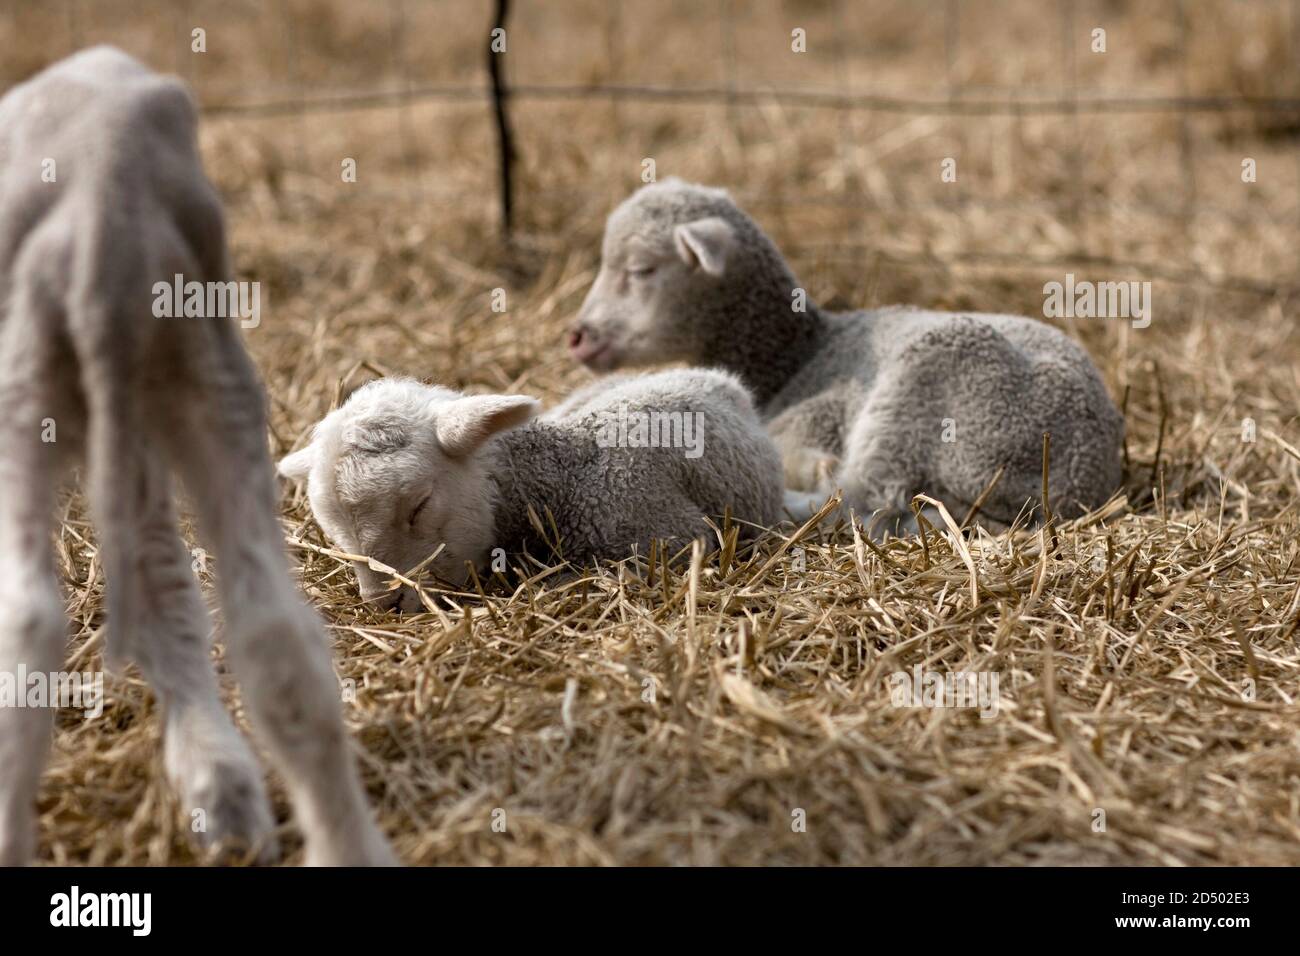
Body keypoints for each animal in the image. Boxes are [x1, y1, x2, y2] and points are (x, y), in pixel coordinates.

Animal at [569, 178, 1125, 535]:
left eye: (641, 269)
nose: (577, 336)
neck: (794, 358)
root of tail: (1069, 476)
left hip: (925, 390)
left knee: (862, 501)